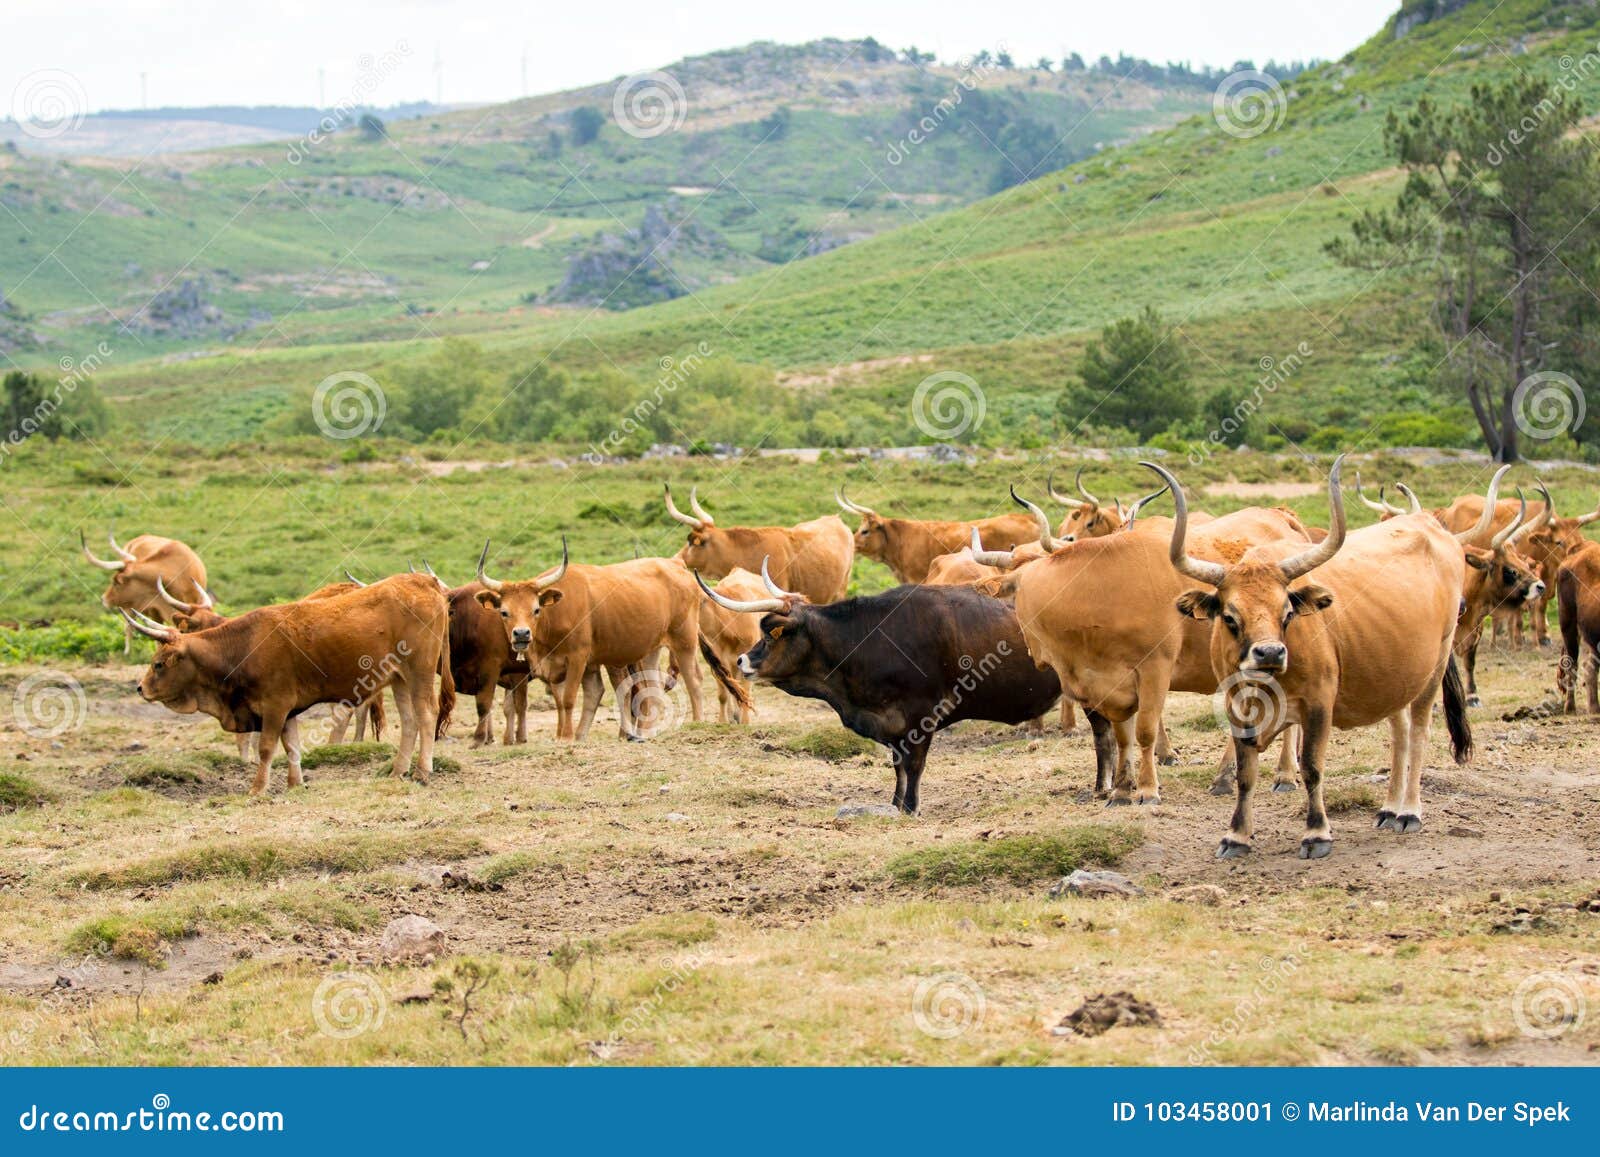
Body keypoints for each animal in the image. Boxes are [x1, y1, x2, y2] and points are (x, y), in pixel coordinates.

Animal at [122, 573, 454, 795]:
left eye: (159, 663)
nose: (140, 688)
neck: (242, 645)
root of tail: (423, 581)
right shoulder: (289, 710)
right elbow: (291, 746)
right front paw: (296, 783)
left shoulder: (275, 705)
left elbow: (267, 748)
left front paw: (257, 789)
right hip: (399, 679)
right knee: (409, 721)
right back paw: (398, 771)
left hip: (419, 672)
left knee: (426, 715)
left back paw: (423, 771)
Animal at [474, 539, 704, 741]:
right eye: (504, 612)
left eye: (536, 609)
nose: (521, 634)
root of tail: (676, 564)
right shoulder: (562, 665)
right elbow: (568, 700)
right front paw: (569, 735)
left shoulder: (578, 657)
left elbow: (569, 699)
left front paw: (567, 737)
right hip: (651, 650)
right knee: (653, 689)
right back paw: (646, 733)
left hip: (684, 641)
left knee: (693, 682)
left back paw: (697, 723)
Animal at [699, 564, 1061, 814]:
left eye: (772, 634)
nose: (743, 660)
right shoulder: (894, 724)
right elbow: (898, 766)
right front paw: (896, 804)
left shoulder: (921, 717)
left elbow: (914, 766)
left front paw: (911, 808)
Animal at [1150, 456, 1471, 859]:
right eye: (1230, 617)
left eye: (1287, 612)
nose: (1270, 652)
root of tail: (1430, 526)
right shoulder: (1236, 707)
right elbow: (1246, 774)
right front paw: (1236, 835)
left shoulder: (1319, 704)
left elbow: (1312, 766)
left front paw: (1317, 833)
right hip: (1396, 674)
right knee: (1399, 733)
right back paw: (1388, 808)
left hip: (1435, 664)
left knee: (1419, 731)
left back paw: (1409, 812)